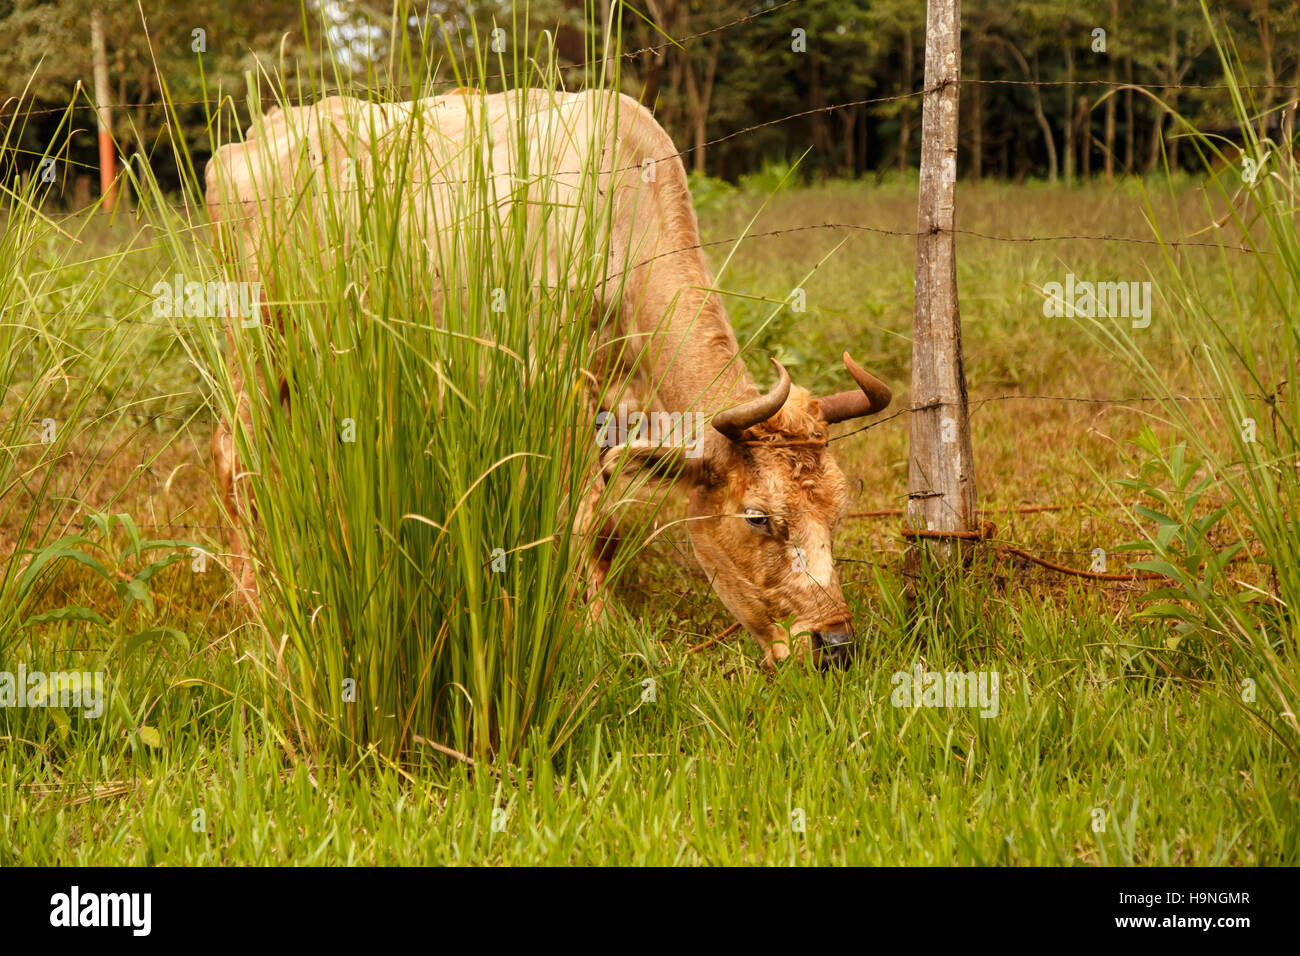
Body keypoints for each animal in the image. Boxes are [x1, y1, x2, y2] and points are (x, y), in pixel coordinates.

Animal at [204, 88, 892, 667]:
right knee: (234, 462)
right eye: (757, 518)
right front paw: (594, 626)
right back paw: (255, 606)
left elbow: (600, 522)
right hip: (255, 348)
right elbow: (577, 515)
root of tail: (252, 138)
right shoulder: (555, 385)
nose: (834, 643)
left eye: (838, 513)